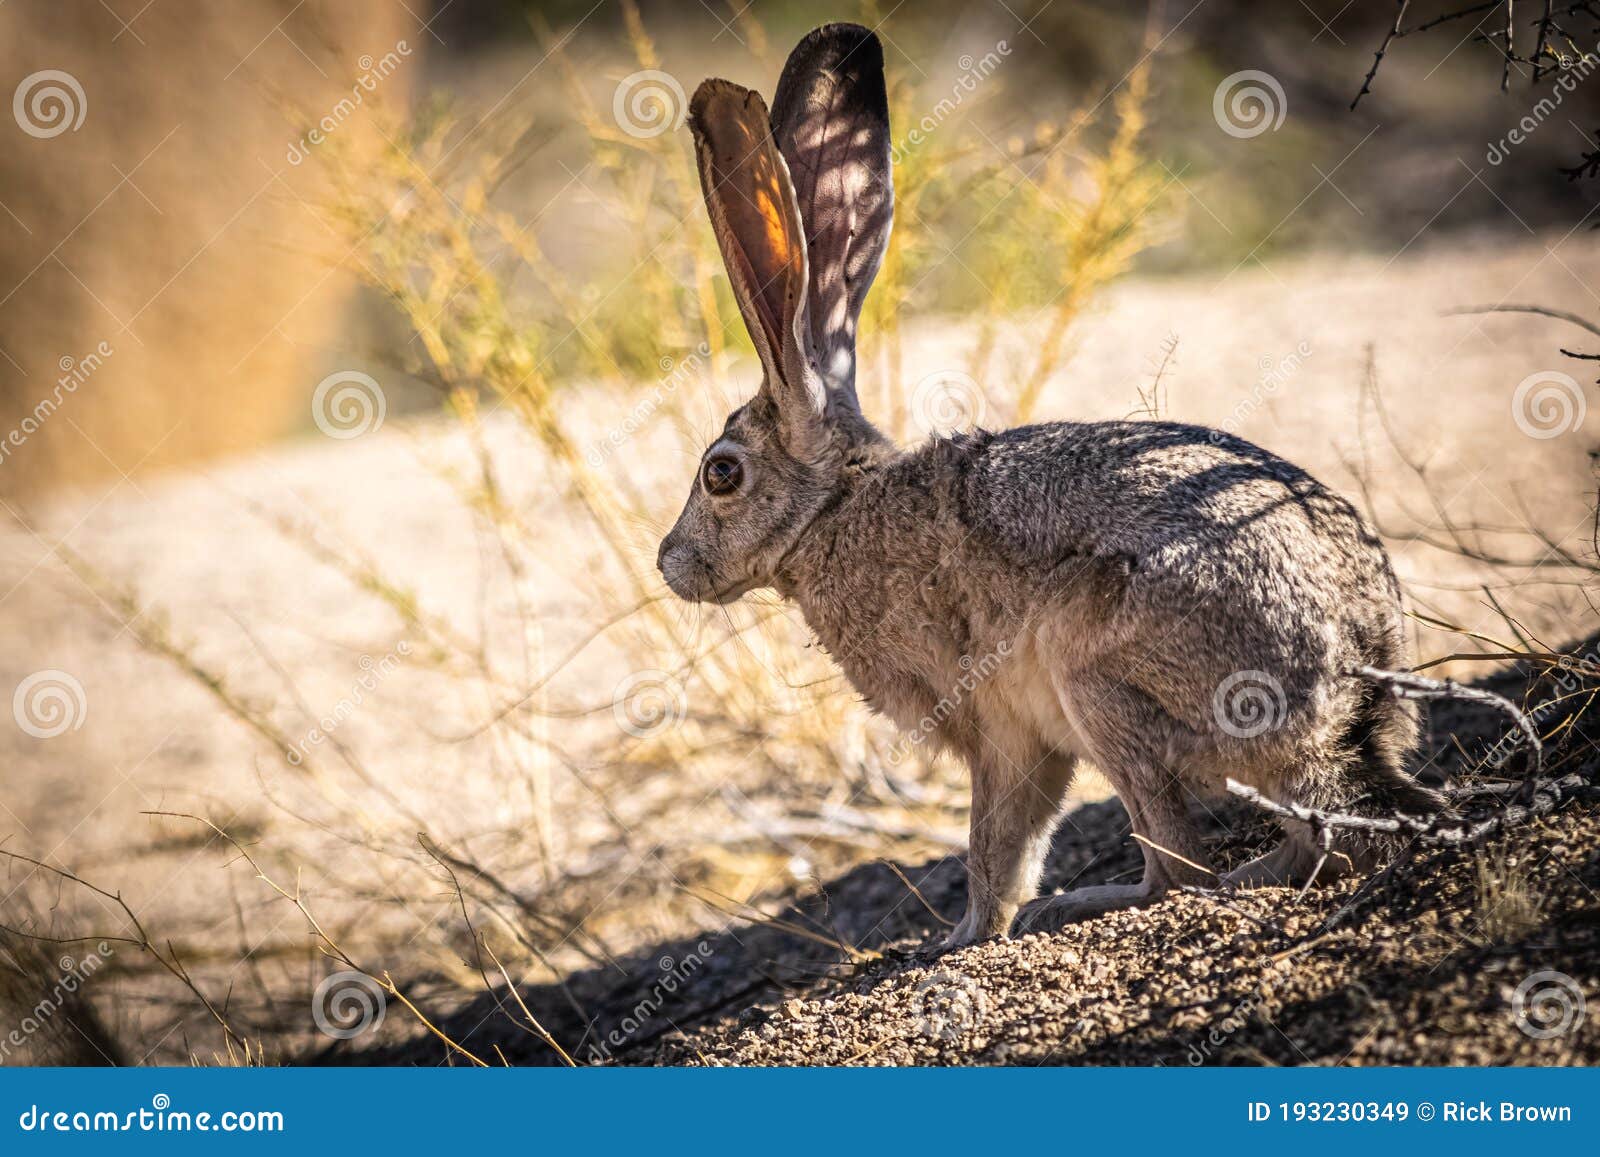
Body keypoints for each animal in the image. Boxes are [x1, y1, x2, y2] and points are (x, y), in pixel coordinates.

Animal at [657, 23, 1443, 951]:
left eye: (721, 472)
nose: (668, 561)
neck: (833, 511)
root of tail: (1351, 678)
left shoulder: (996, 726)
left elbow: (993, 844)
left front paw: (960, 936)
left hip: (1093, 669)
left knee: (1184, 867)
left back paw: (1093, 902)